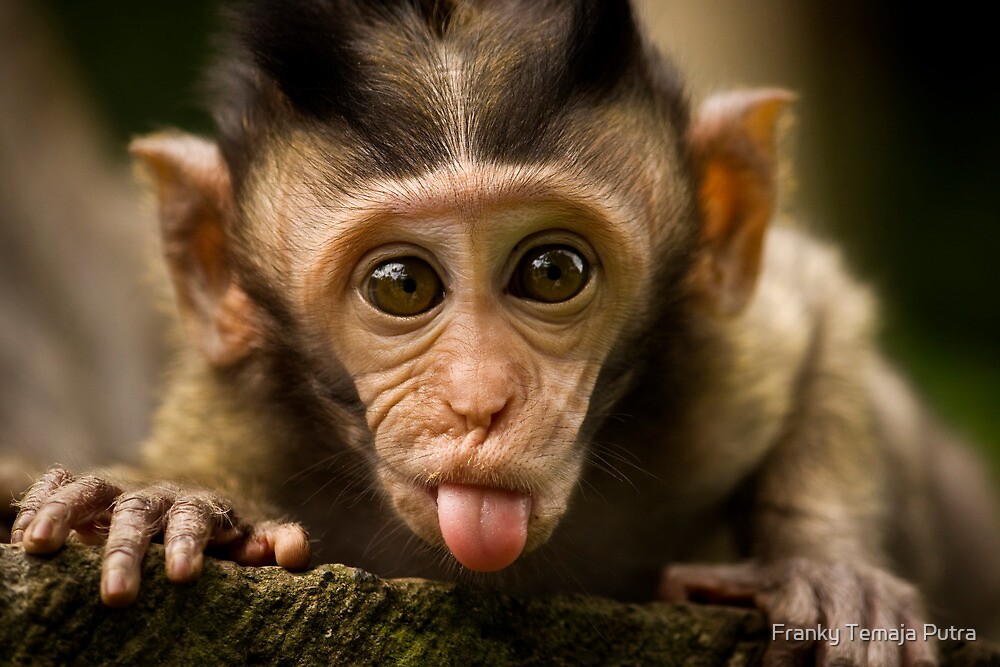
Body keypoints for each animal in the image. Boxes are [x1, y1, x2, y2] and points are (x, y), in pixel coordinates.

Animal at [9, 1, 1000, 664]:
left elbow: (822, 311)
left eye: (551, 272)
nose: (480, 401)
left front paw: (829, 567)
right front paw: (174, 501)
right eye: (402, 285)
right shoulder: (241, 412)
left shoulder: (723, 373)